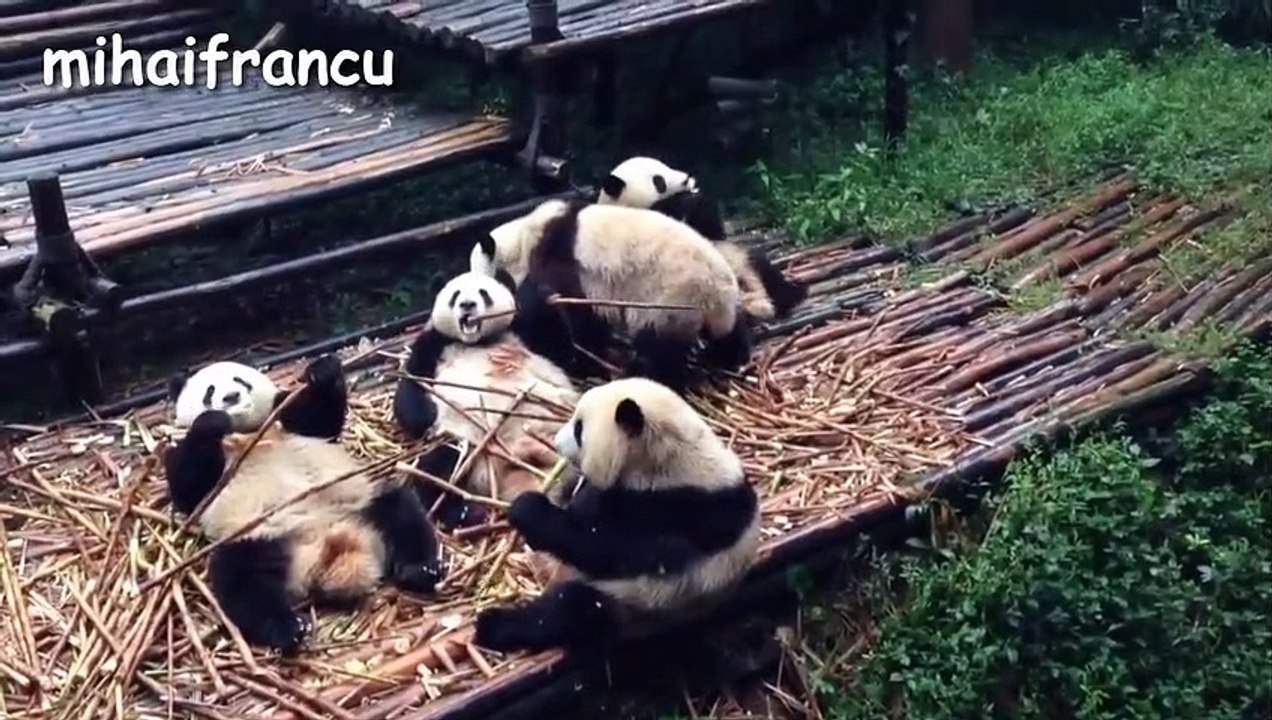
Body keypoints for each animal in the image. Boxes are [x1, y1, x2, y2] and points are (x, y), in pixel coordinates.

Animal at [163, 354, 445, 656]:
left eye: (241, 380)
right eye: (209, 391)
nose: (231, 397)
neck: (247, 435)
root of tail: (324, 553)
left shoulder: (283, 422)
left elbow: (319, 422)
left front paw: (322, 372)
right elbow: (189, 486)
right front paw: (212, 421)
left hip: (360, 505)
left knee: (400, 511)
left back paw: (420, 569)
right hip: (260, 538)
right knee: (241, 580)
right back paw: (288, 627)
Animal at [393, 270, 581, 529]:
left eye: (483, 293)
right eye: (456, 295)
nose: (467, 305)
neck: (478, 340)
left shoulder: (522, 334)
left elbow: (562, 352)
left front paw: (535, 291)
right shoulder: (434, 345)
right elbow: (410, 389)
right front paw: (427, 416)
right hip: (469, 444)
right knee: (439, 468)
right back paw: (466, 513)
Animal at [469, 198, 753, 393]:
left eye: (484, 291)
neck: (523, 238)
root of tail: (715, 299)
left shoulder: (558, 260)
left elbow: (553, 315)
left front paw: (573, 360)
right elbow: (590, 320)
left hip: (670, 301)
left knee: (659, 351)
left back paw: (644, 375)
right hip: (716, 305)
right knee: (730, 334)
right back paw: (730, 358)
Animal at [473, 376, 762, 654]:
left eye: (579, 429)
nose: (556, 442)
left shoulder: (677, 510)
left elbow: (609, 548)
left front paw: (528, 510)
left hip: (639, 602)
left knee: (574, 610)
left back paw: (495, 625)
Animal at [597, 155, 808, 321]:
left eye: (665, 165)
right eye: (658, 180)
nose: (687, 178)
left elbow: (710, 230)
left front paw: (696, 195)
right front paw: (688, 198)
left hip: (737, 257)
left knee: (759, 261)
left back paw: (793, 294)